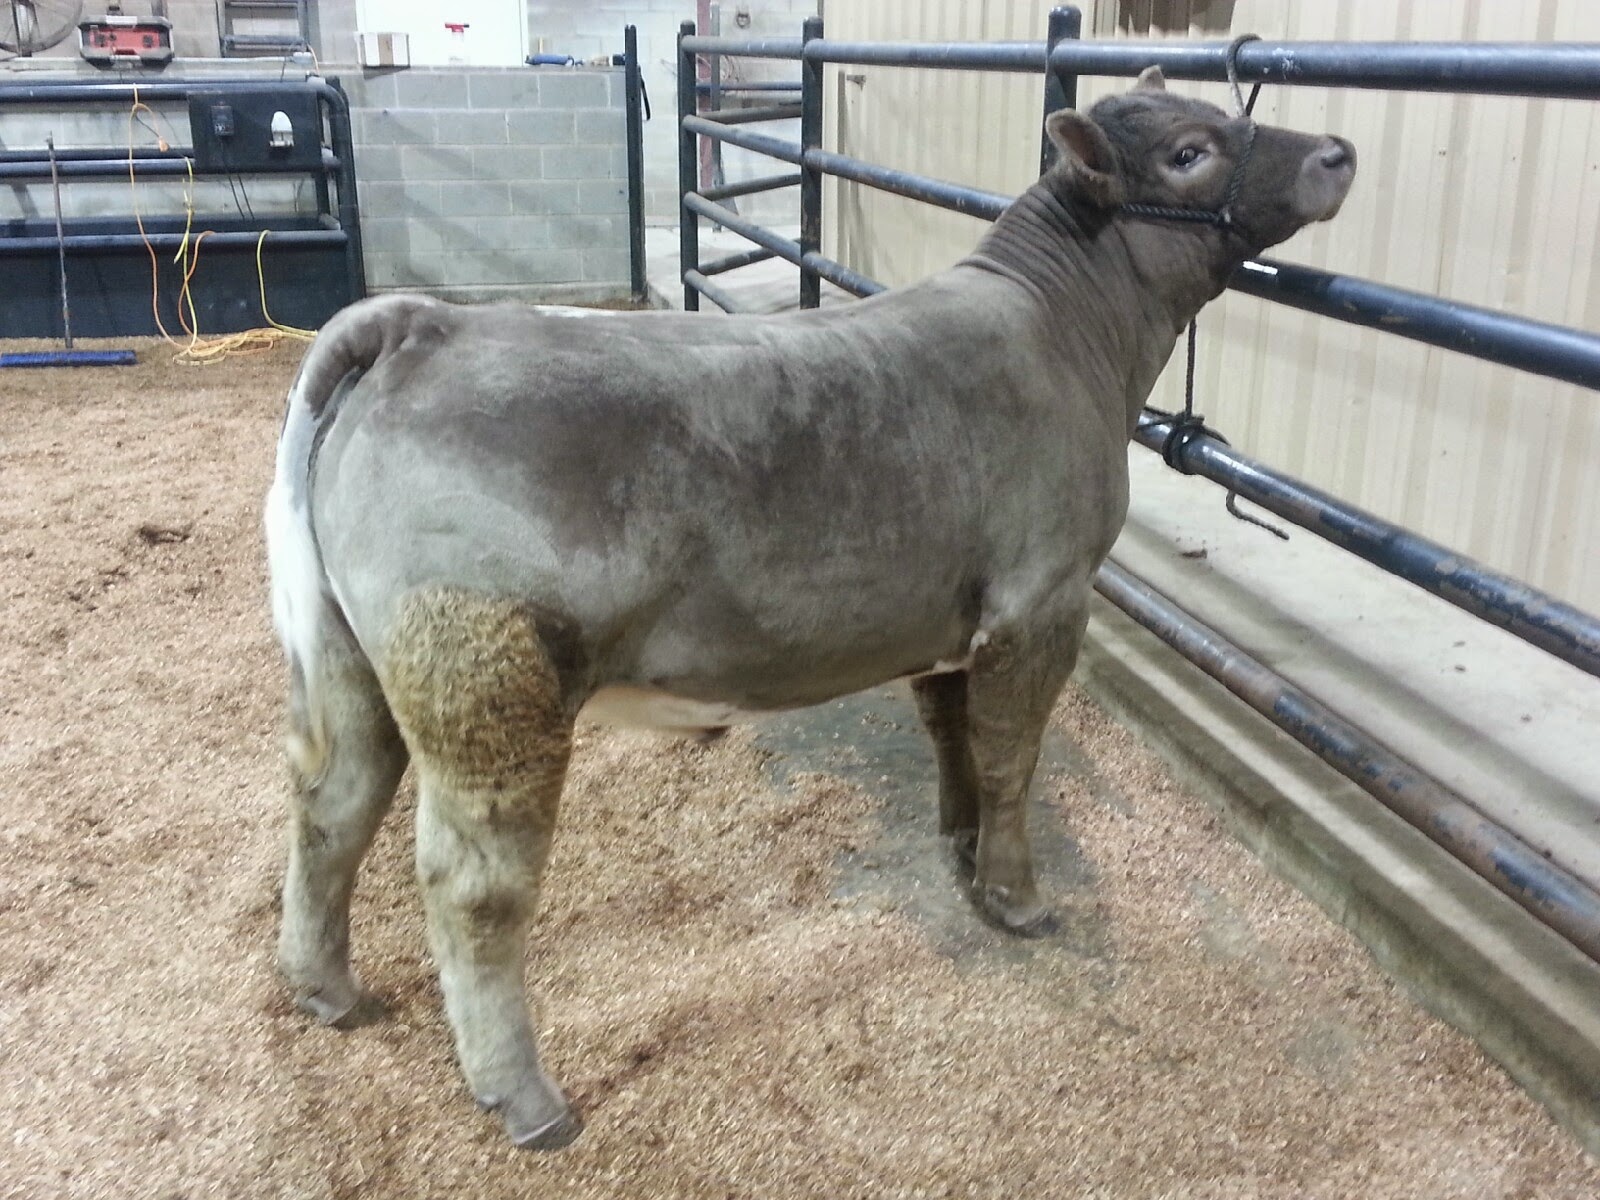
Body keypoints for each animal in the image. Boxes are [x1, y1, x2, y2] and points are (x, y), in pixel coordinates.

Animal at [264, 70, 1355, 1149]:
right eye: (1189, 151)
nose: (1335, 152)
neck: (1065, 331)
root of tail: (426, 325)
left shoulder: (948, 621)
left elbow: (953, 734)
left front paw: (960, 844)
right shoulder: (1043, 601)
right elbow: (1012, 758)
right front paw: (1016, 896)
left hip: (361, 662)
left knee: (333, 802)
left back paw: (325, 988)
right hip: (487, 674)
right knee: (473, 886)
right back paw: (524, 1097)